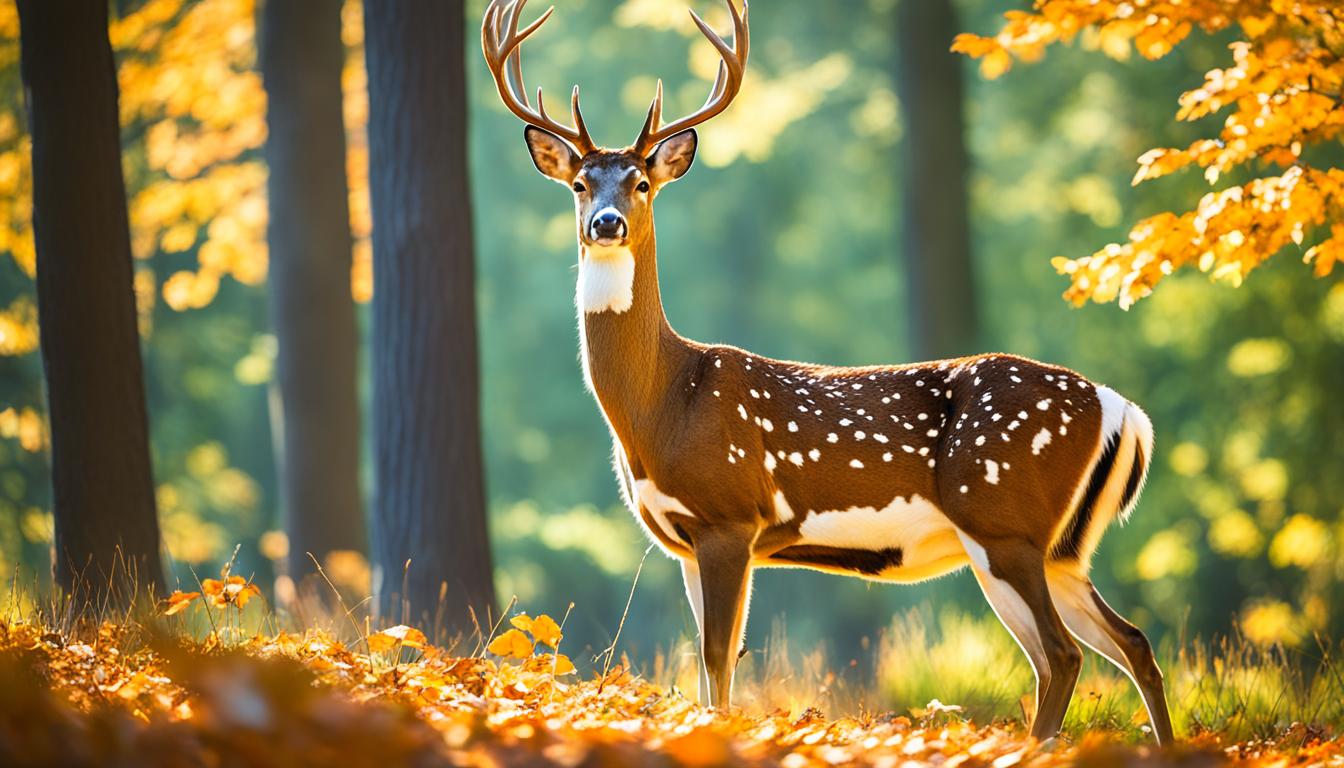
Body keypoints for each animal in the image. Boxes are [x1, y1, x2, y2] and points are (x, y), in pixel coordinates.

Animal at [482, 0, 1174, 745]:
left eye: (641, 183)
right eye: (580, 185)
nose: (606, 223)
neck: (664, 405)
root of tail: (1122, 408)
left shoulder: (730, 517)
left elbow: (719, 661)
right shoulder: (684, 543)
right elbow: (706, 667)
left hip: (1005, 522)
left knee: (1063, 653)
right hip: (1055, 547)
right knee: (1127, 642)